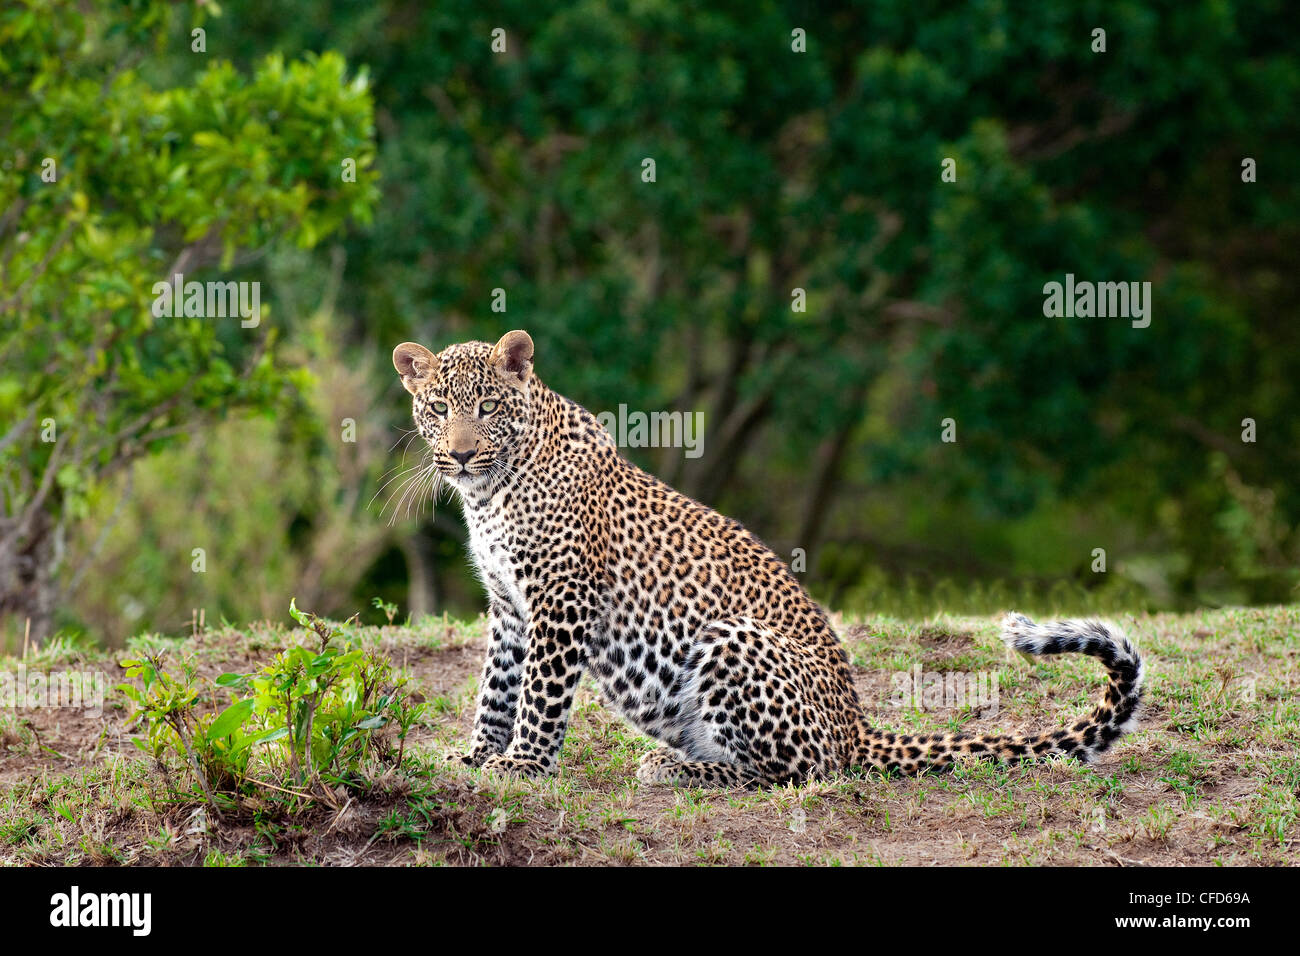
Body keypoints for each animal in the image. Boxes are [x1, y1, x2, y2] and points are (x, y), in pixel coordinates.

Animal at [392, 329, 1145, 788]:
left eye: (487, 405)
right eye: (438, 407)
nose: (460, 453)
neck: (489, 491)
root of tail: (855, 728)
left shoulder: (561, 598)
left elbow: (540, 694)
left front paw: (523, 764)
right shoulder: (508, 606)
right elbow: (496, 687)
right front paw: (478, 755)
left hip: (732, 640)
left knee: (791, 772)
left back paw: (673, 770)